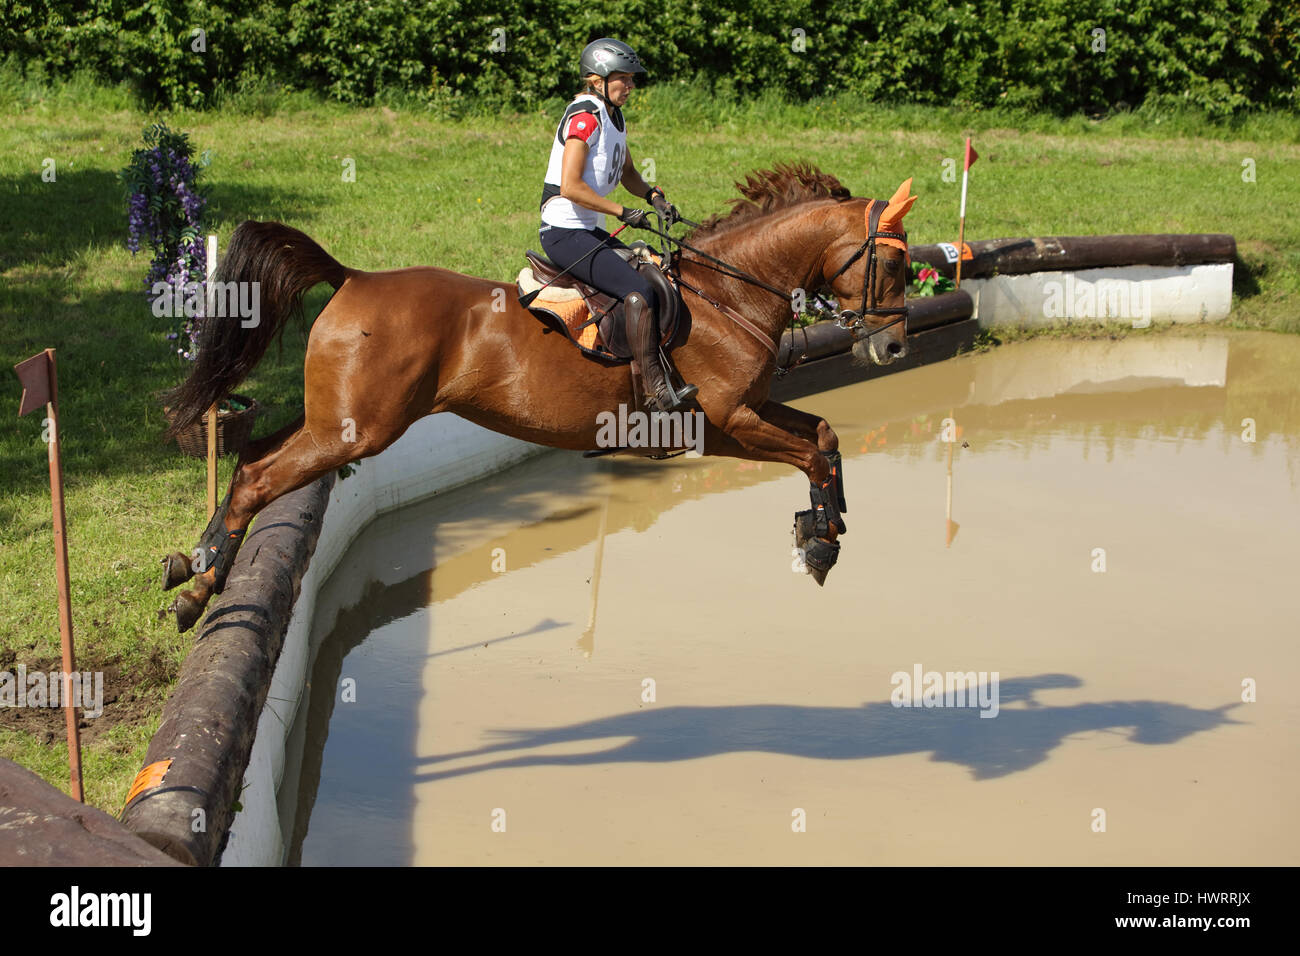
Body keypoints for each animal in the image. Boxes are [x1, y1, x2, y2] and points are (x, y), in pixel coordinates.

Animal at [160, 163, 916, 632]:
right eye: (896, 262)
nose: (893, 349)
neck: (728, 295)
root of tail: (354, 278)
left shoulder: (746, 417)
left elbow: (823, 436)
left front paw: (824, 526)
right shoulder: (726, 424)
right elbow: (811, 450)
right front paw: (821, 539)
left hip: (336, 422)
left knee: (253, 454)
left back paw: (192, 563)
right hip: (357, 429)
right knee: (258, 477)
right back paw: (199, 589)